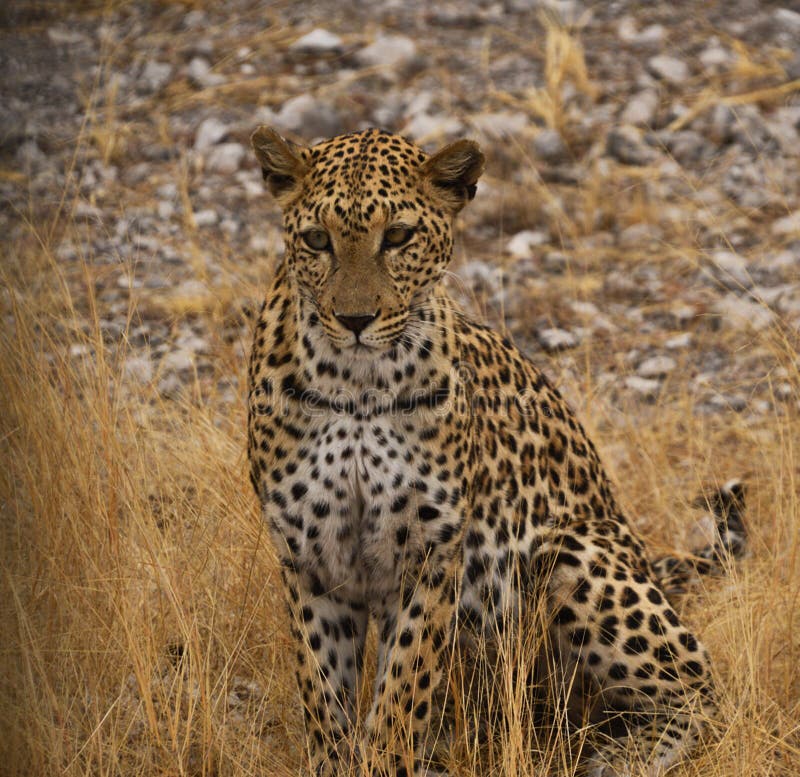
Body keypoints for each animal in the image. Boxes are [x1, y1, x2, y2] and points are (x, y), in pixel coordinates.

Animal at [245, 126, 746, 777]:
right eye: (316, 240)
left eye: (397, 236)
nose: (355, 319)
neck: (356, 384)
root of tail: (645, 555)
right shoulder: (309, 558)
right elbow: (323, 697)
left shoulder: (430, 552)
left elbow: (402, 690)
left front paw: (389, 758)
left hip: (574, 552)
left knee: (700, 686)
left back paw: (619, 759)